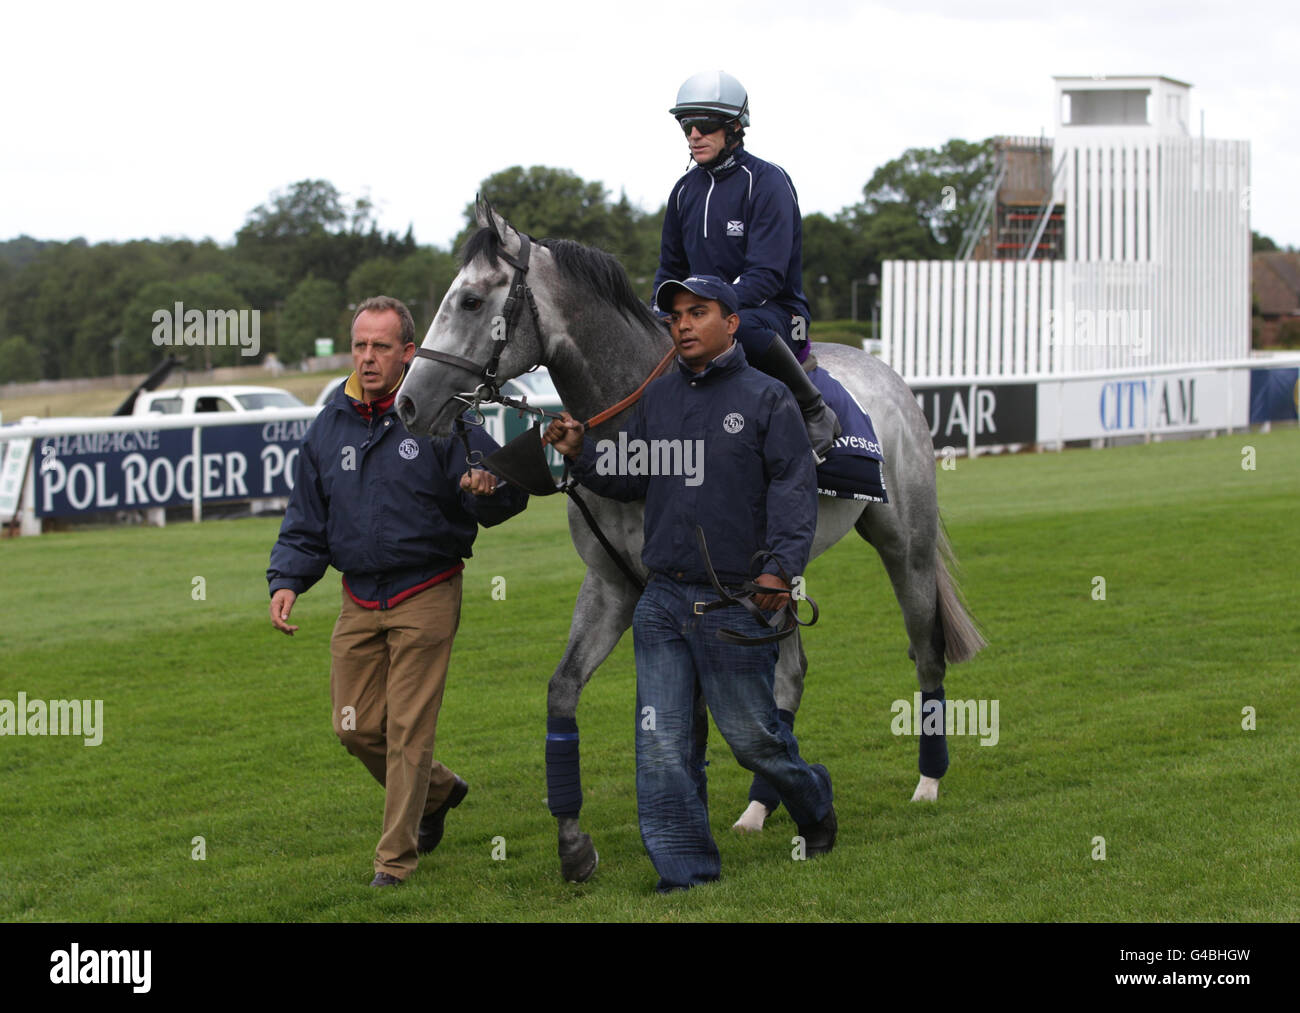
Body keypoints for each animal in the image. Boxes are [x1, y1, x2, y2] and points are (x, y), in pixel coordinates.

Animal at [396, 200, 986, 883]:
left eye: (469, 301)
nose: (408, 404)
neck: (638, 430)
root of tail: (887, 374)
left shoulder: (688, 594)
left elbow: (696, 719)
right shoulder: (613, 586)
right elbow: (565, 693)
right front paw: (575, 844)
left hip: (903, 546)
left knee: (926, 653)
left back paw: (927, 782)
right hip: (775, 583)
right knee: (789, 678)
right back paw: (761, 808)